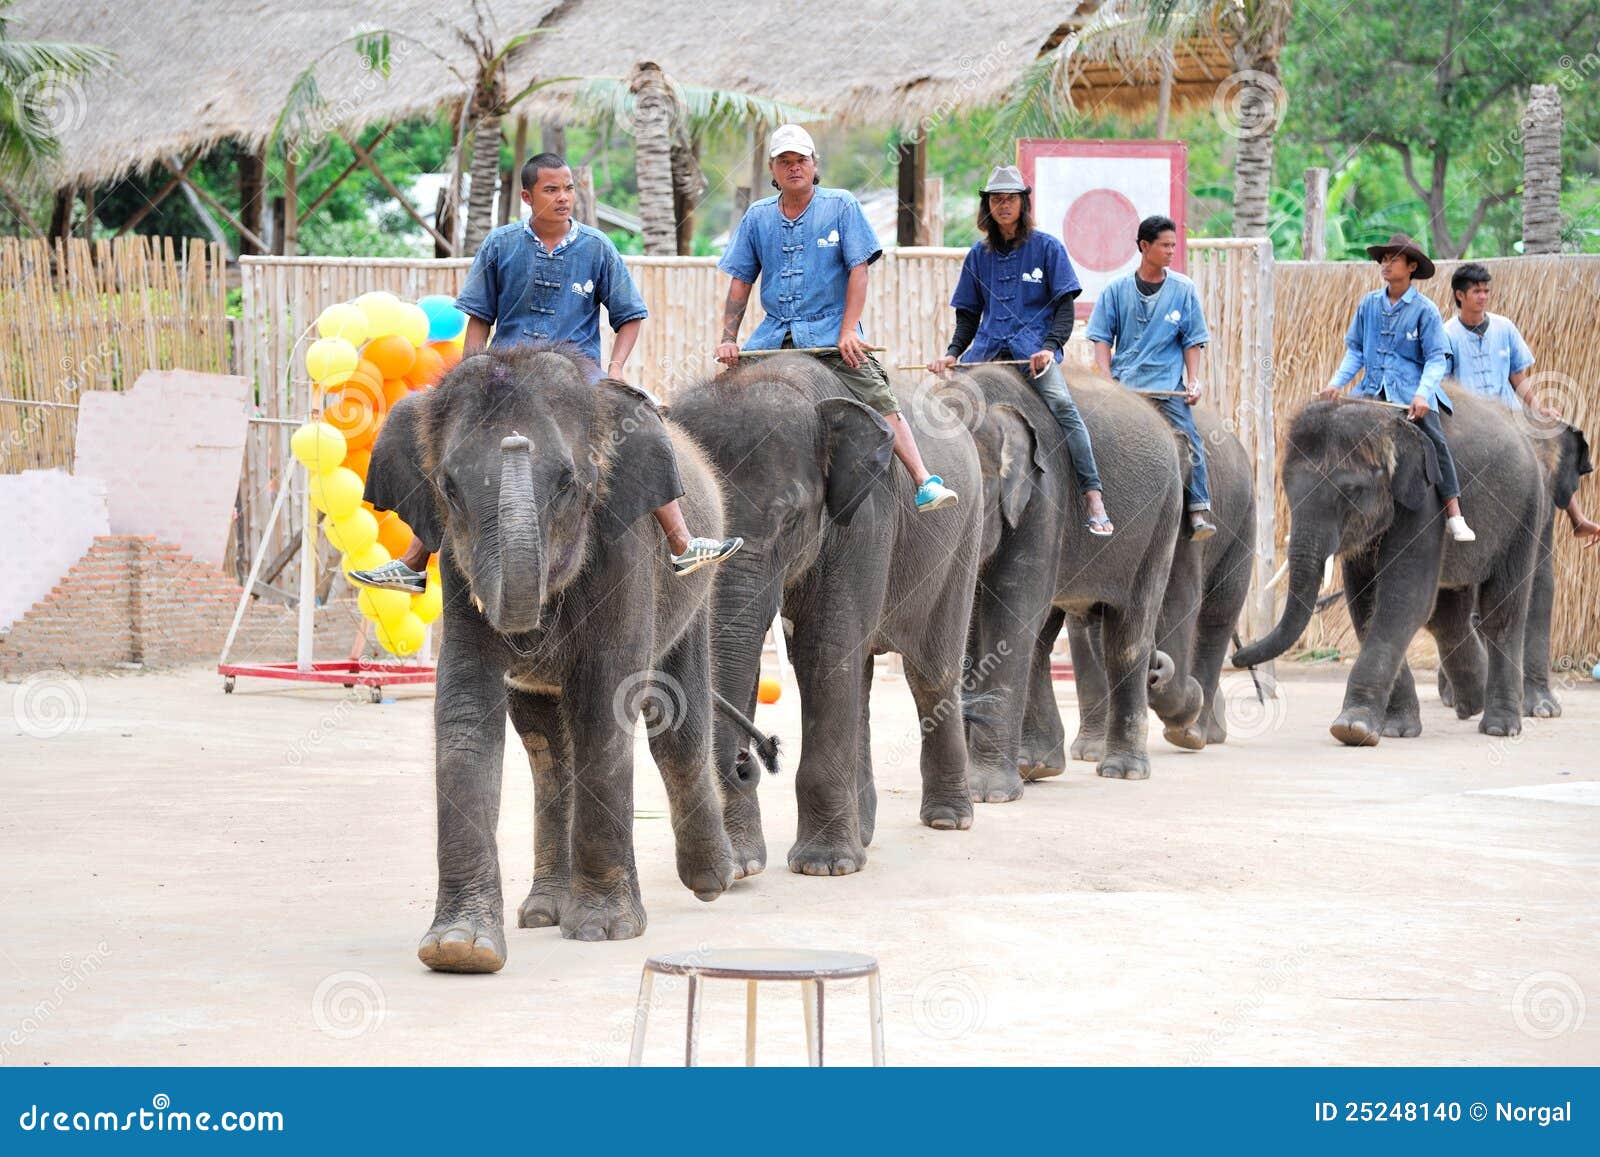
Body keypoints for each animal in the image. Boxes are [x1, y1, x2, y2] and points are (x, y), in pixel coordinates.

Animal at [364, 345, 735, 967]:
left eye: (567, 483)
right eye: (449, 487)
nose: (515, 443)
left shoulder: (626, 547)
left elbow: (605, 704)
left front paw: (605, 931)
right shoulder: (458, 570)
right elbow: (465, 710)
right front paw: (460, 950)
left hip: (693, 590)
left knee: (675, 727)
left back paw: (712, 881)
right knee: (546, 749)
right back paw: (543, 913)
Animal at [669, 354, 982, 878]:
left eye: (791, 519)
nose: (748, 761)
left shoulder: (866, 516)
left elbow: (825, 649)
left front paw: (826, 867)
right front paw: (743, 867)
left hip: (963, 540)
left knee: (932, 673)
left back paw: (949, 820)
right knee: (863, 679)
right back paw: (867, 832)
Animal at [944, 364, 1185, 795]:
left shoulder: (1044, 494)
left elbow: (1009, 615)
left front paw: (989, 794)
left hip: (1162, 518)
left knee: (1126, 637)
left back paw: (1123, 772)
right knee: (1043, 635)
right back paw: (1036, 767)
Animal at [1028, 405, 1256, 765]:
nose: (1157, 665)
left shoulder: (1179, 517)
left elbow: (1179, 603)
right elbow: (1082, 622)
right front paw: (1092, 753)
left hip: (1242, 518)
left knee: (1219, 612)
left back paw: (1193, 735)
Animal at [1233, 390, 1545, 744]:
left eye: (1351, 492)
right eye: (1285, 486)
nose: (1237, 657)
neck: (1382, 419)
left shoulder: (1425, 498)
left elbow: (1403, 600)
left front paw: (1351, 728)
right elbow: (1365, 604)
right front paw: (1395, 729)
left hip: (1526, 508)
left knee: (1501, 611)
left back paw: (1499, 727)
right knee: (1448, 618)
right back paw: (1471, 703)